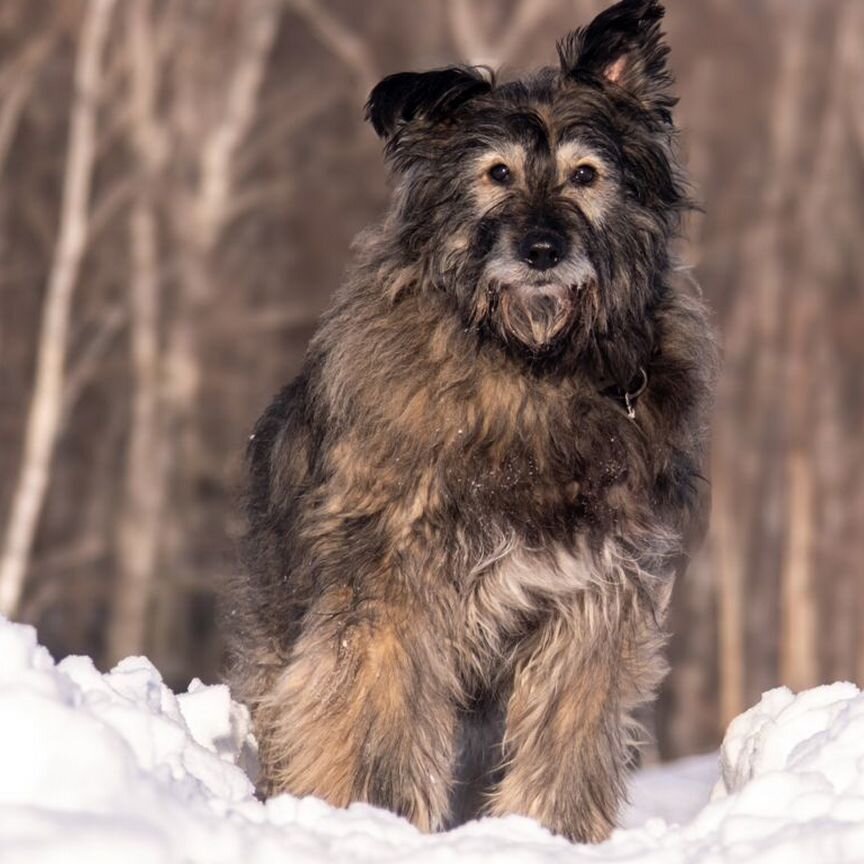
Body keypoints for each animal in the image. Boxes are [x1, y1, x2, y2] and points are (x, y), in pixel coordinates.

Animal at [228, 0, 716, 844]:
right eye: (497, 174)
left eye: (586, 175)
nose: (543, 248)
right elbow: (375, 716)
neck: (532, 366)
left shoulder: (592, 596)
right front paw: (375, 817)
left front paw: (548, 834)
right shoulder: (395, 584)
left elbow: (568, 728)